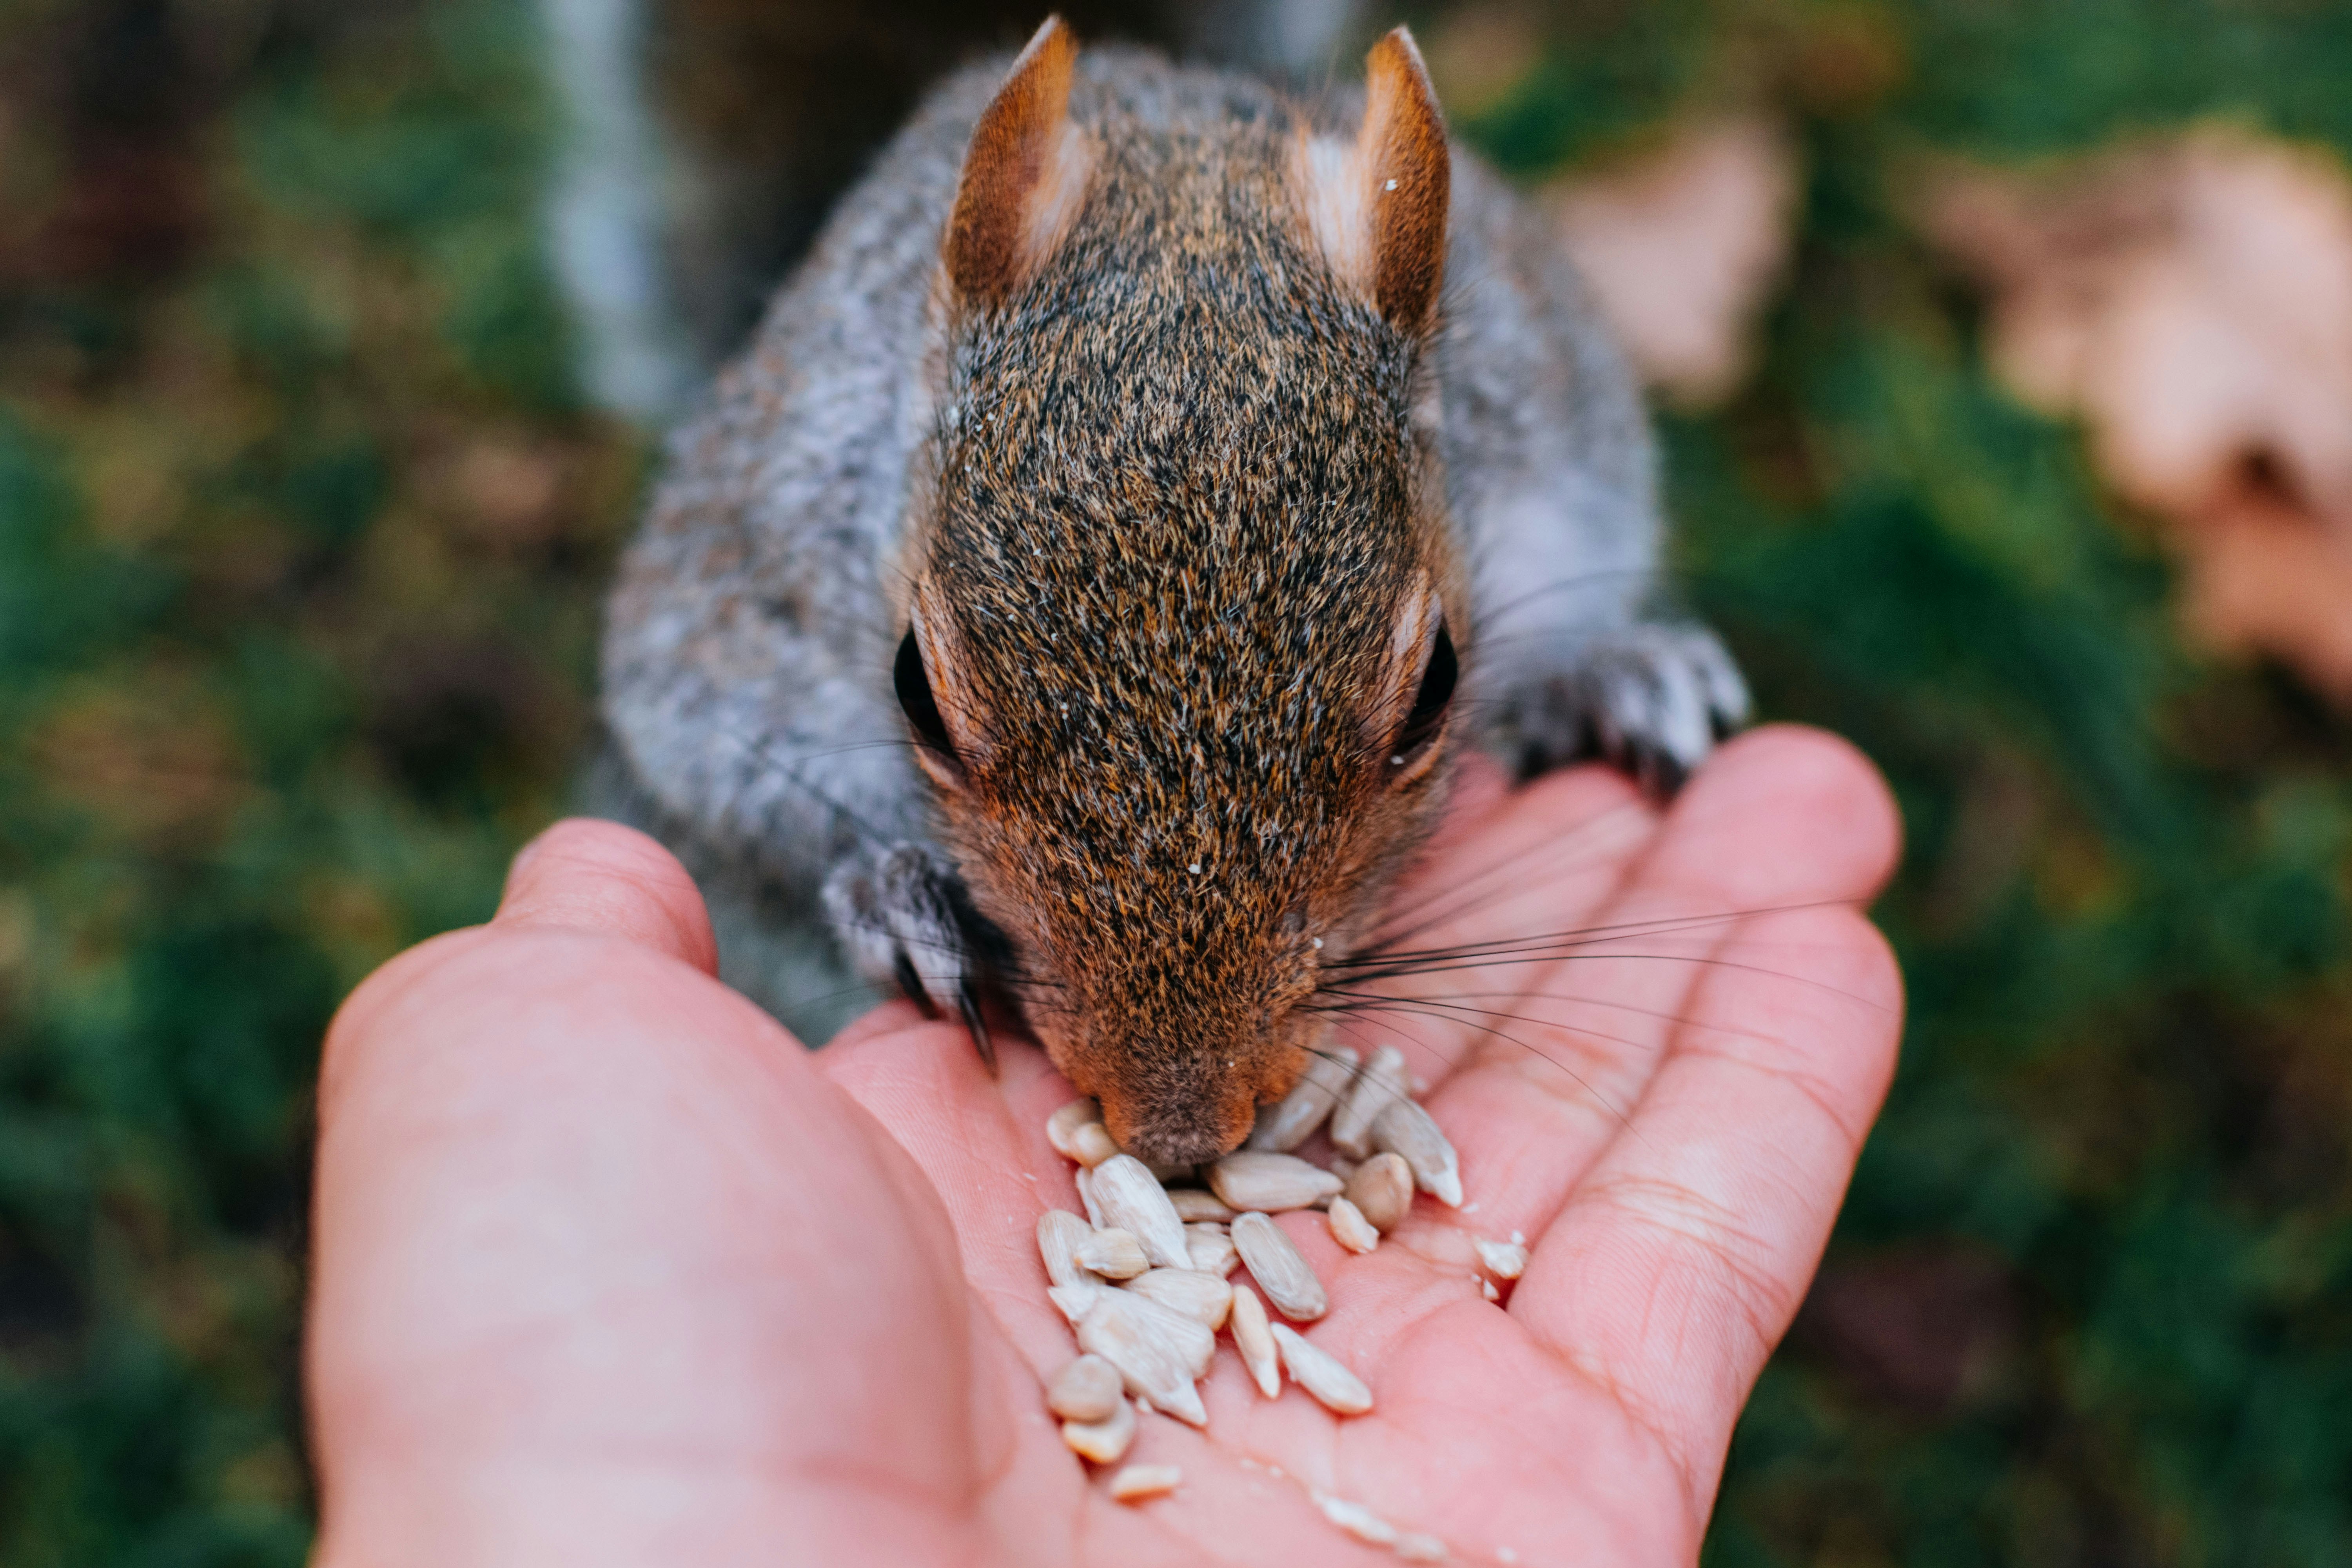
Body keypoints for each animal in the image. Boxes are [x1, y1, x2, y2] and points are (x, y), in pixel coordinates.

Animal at [599, 18, 1748, 1164]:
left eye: (1437, 692)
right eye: (914, 691)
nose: (1180, 1130)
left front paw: (1601, 673)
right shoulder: (742, 584)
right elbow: (719, 763)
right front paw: (893, 894)